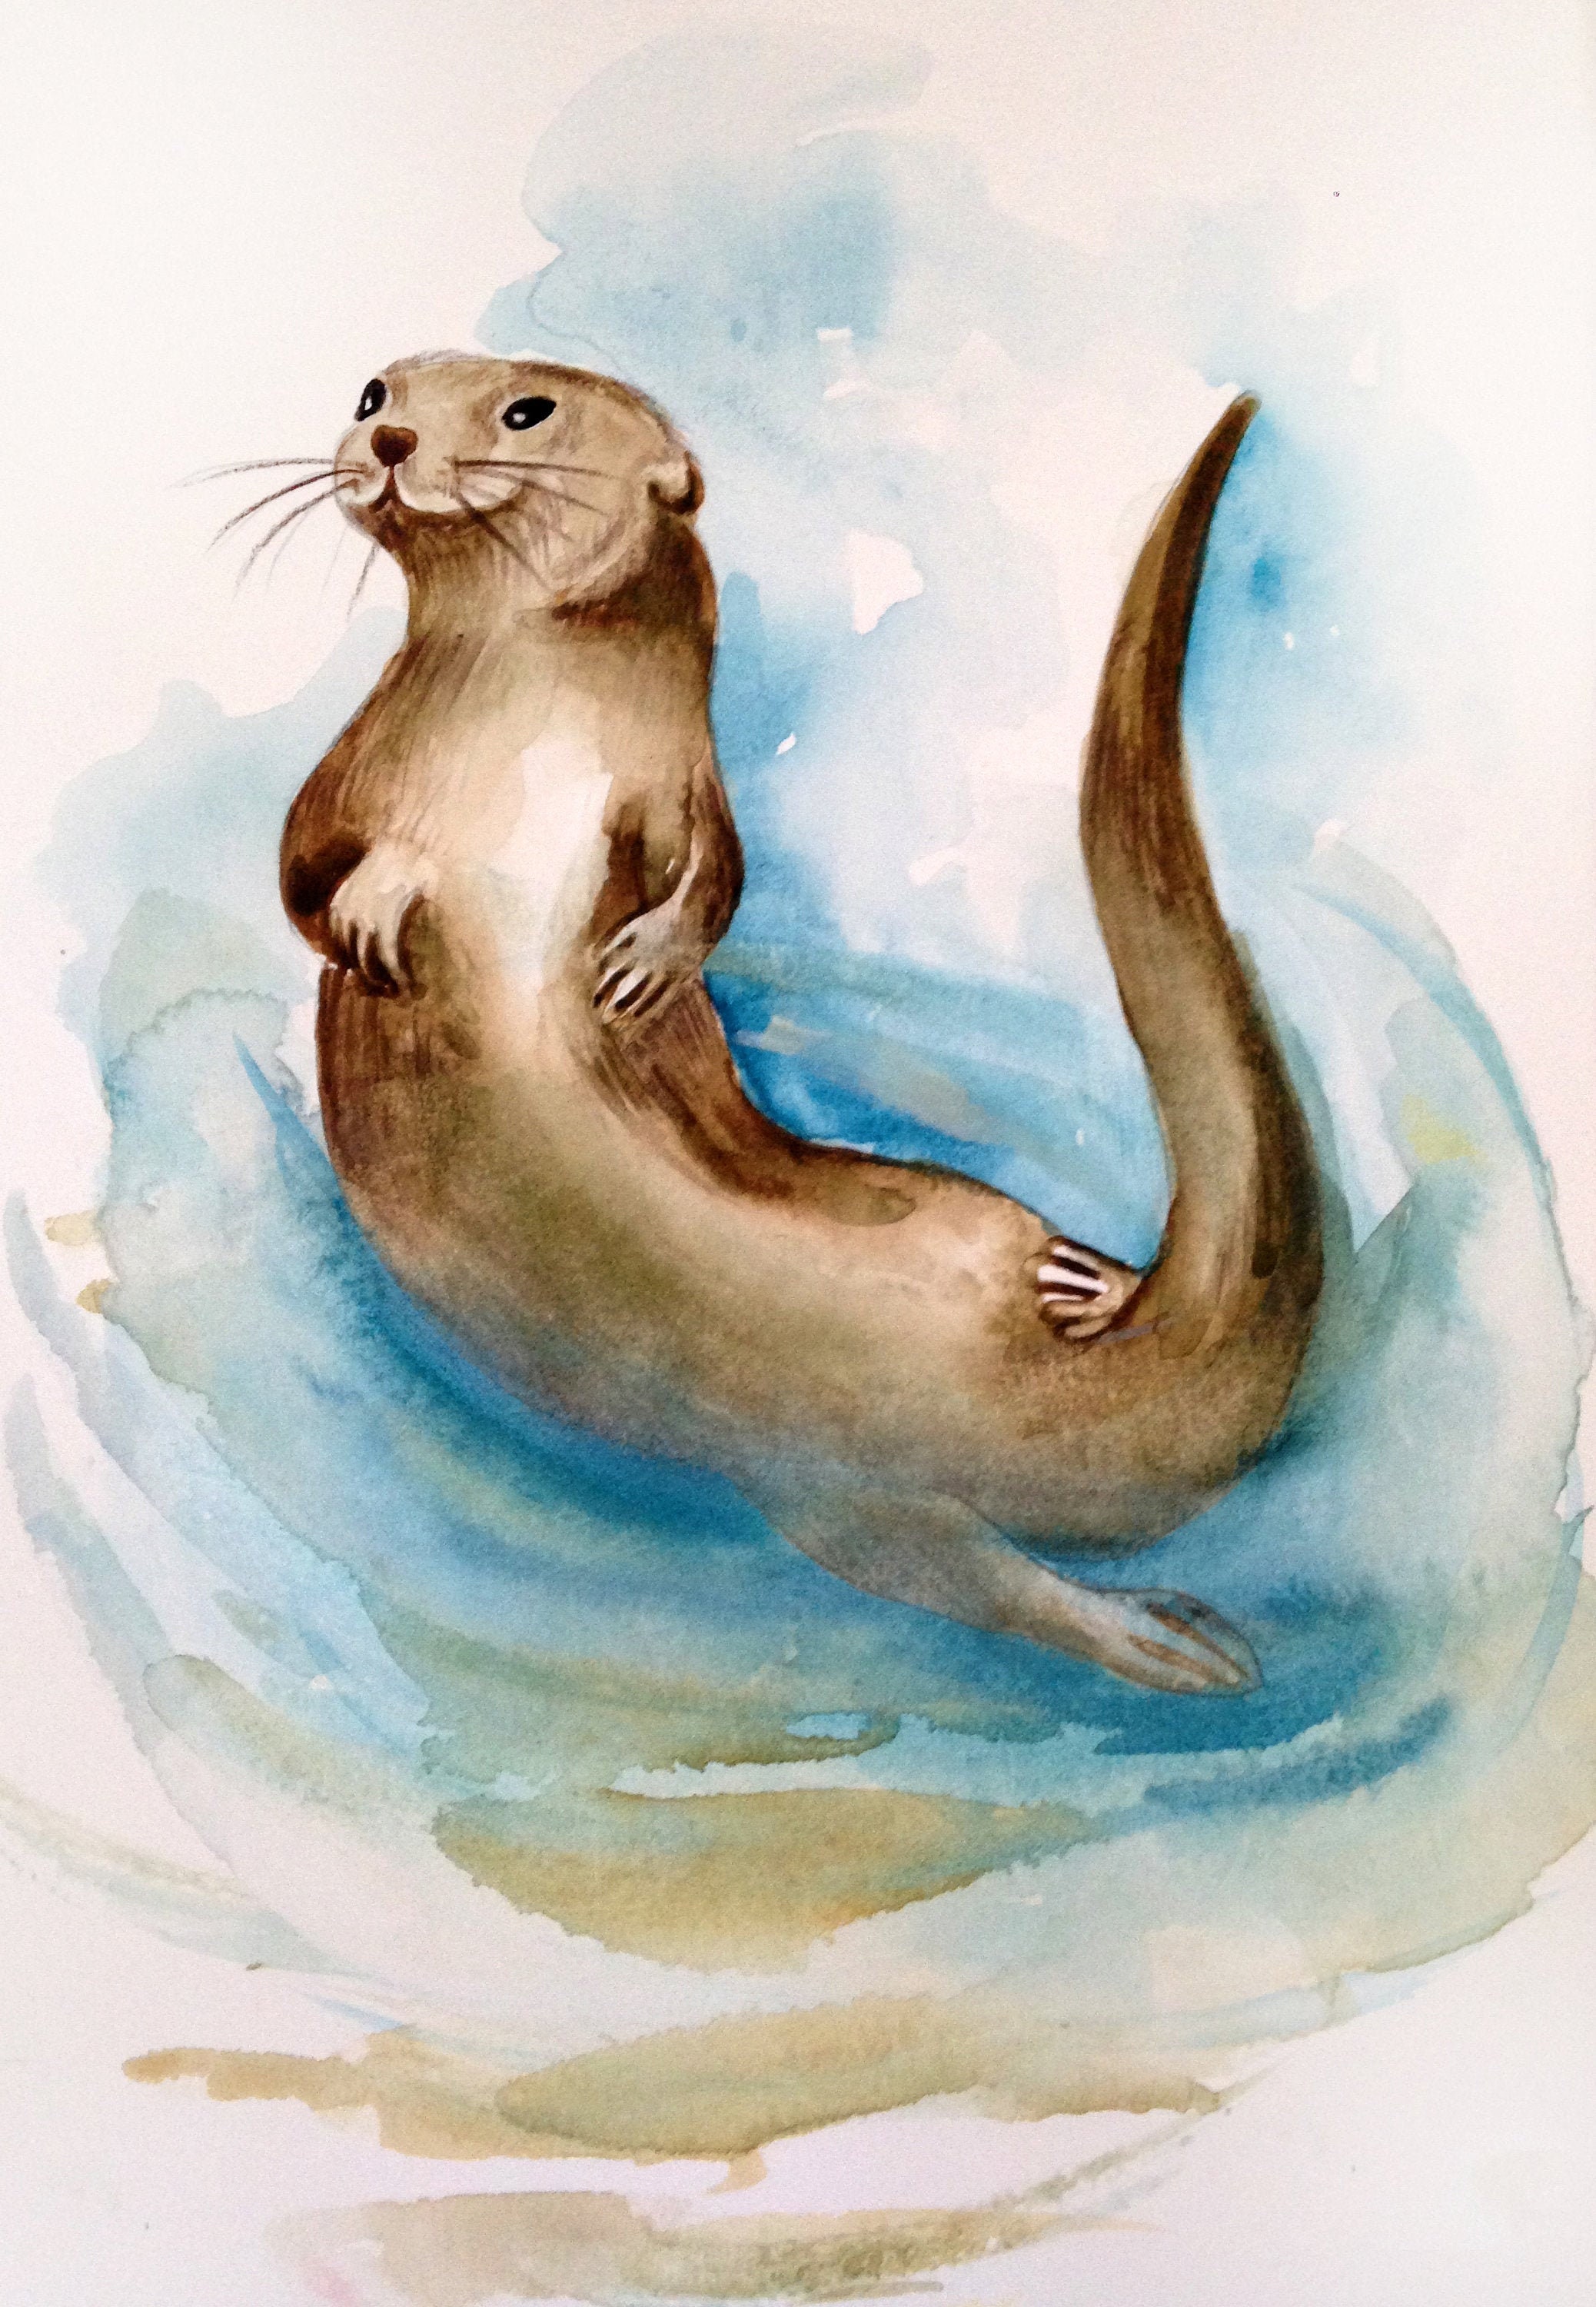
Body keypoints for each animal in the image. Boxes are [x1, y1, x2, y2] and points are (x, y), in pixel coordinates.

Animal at [279, 354, 1321, 1697]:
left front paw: (649, 962)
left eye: (527, 411)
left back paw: (1154, 1590)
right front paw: (381, 900)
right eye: (373, 392)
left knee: (979, 1580)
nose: (392, 439)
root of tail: (1022, 1368)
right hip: (825, 1481)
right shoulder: (355, 775)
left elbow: (721, 874)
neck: (525, 737)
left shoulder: (676, 787)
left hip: (837, 1482)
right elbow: (305, 869)